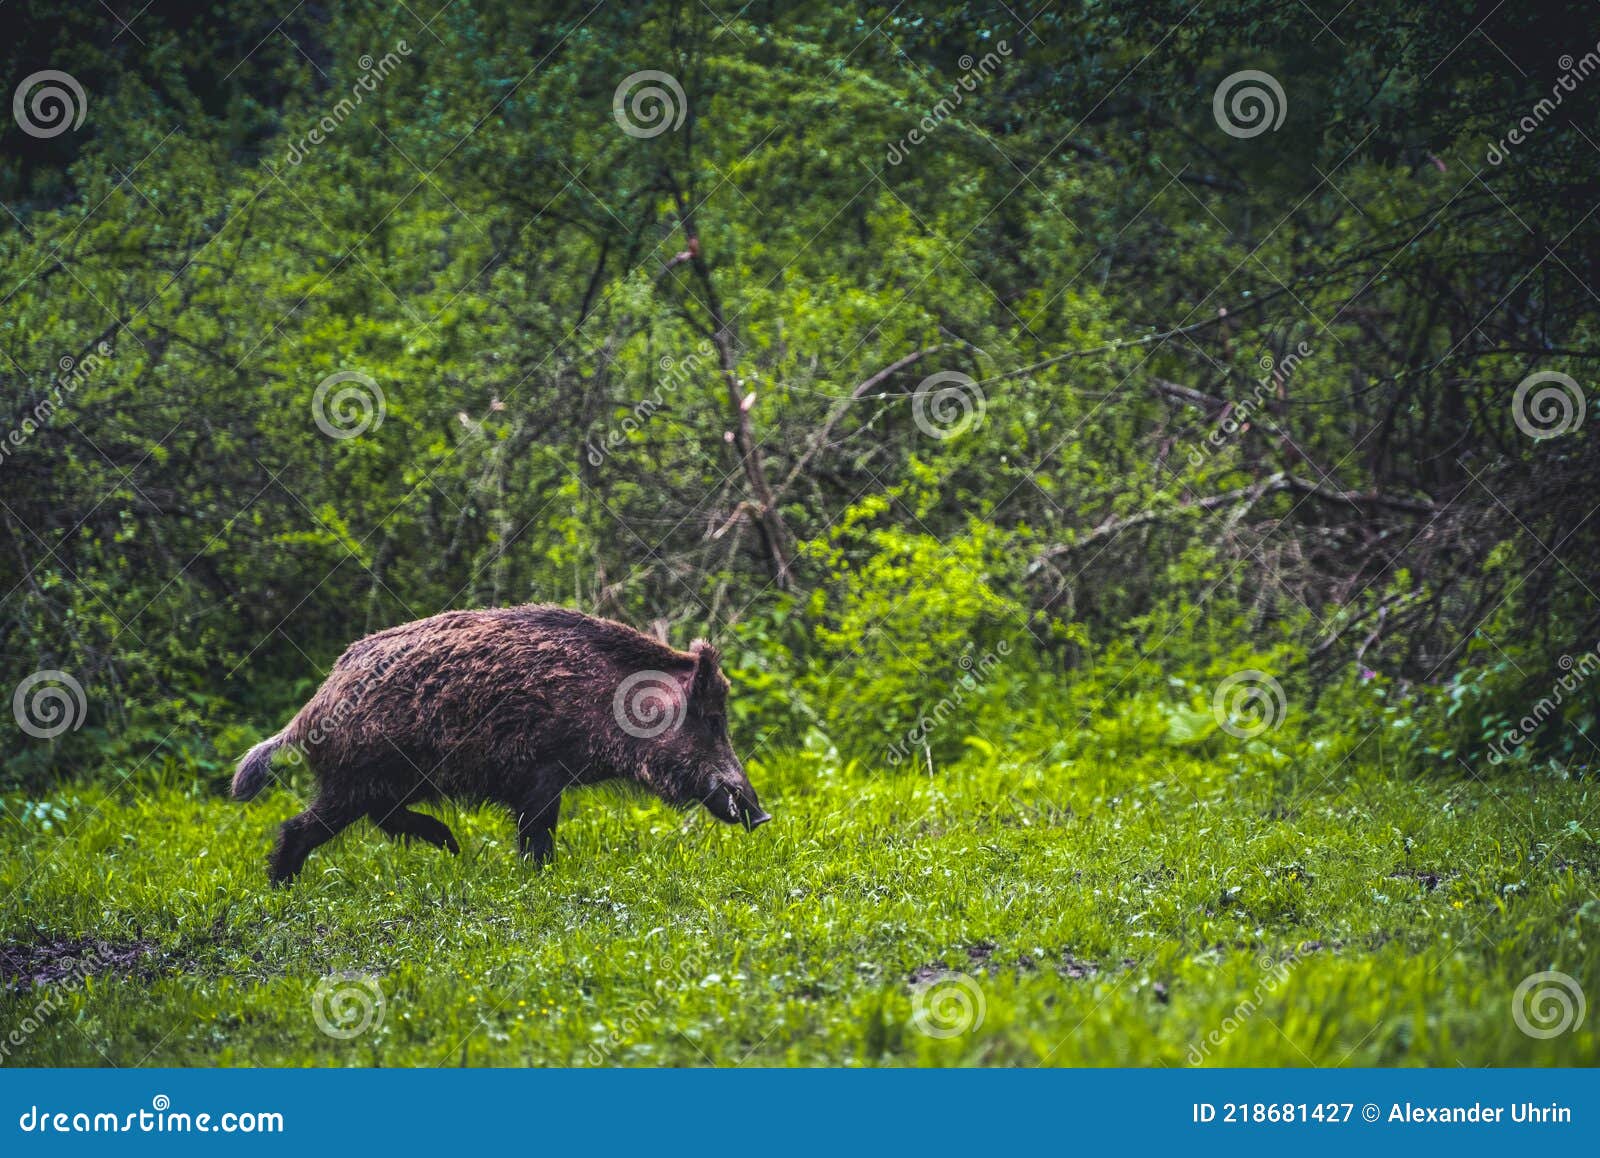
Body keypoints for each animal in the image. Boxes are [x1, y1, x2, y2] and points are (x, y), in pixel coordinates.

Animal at [231, 604, 769, 884]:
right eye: (713, 721)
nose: (762, 815)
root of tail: (311, 710)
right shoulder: (543, 773)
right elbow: (537, 833)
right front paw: (543, 878)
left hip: (380, 783)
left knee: (382, 819)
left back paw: (449, 845)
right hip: (356, 780)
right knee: (300, 828)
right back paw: (282, 887)